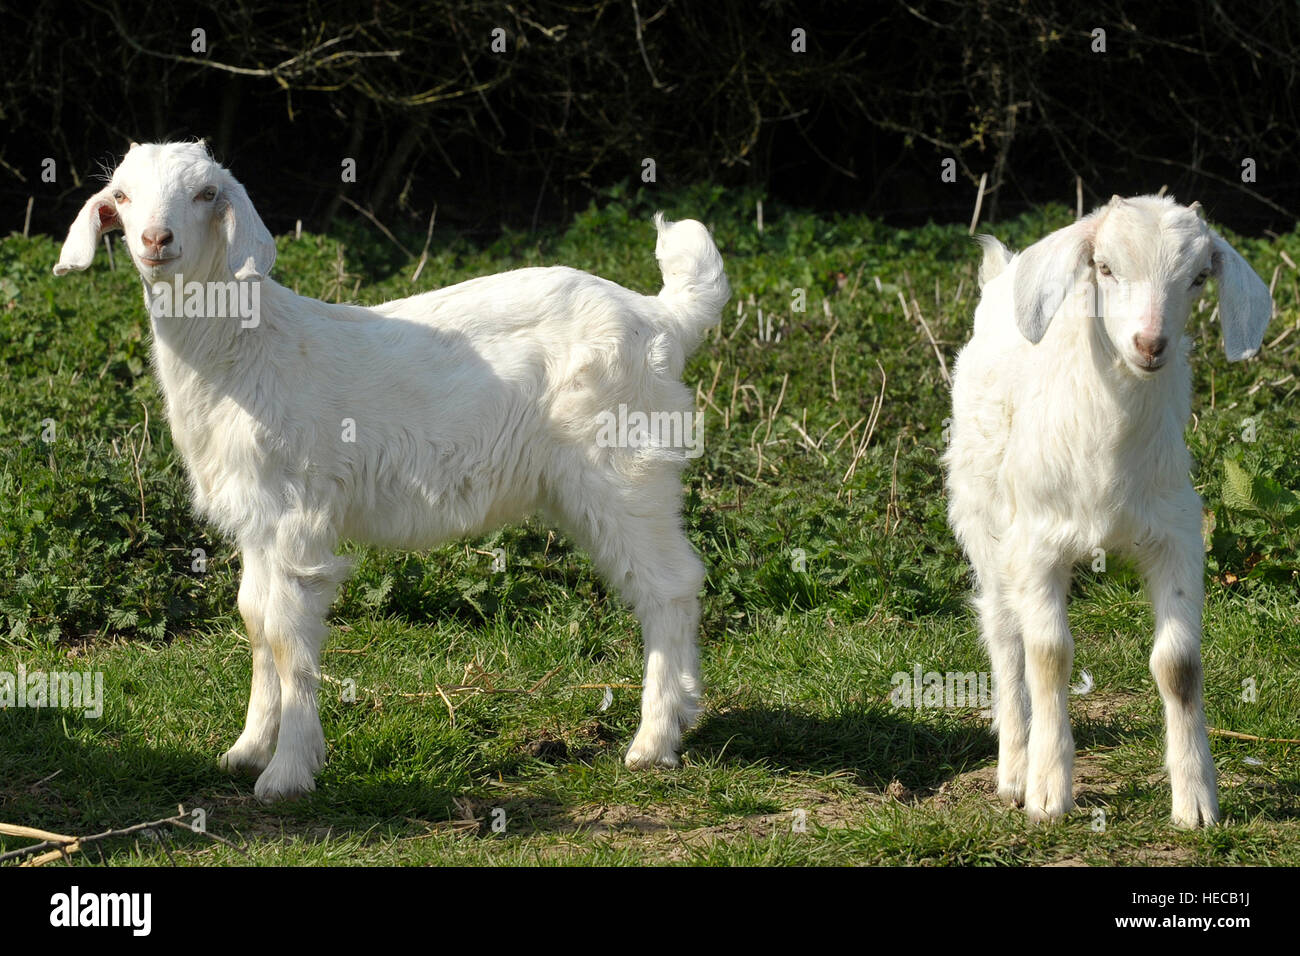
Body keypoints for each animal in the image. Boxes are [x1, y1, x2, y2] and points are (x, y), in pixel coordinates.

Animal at [53, 141, 730, 801]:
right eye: (122, 195)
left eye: (205, 193)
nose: (156, 240)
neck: (242, 353)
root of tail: (663, 318)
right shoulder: (256, 516)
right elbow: (255, 619)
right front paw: (246, 750)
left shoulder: (297, 513)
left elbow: (286, 634)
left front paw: (287, 773)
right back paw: (681, 718)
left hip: (621, 464)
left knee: (669, 584)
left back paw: (652, 742)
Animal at [944, 195, 1273, 827]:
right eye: (1105, 268)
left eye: (1199, 277)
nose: (1150, 343)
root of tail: (1004, 274)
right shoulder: (1037, 541)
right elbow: (1048, 655)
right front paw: (1049, 792)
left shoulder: (1177, 534)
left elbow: (1179, 665)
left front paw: (1196, 801)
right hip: (984, 516)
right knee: (1004, 635)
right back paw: (1014, 771)